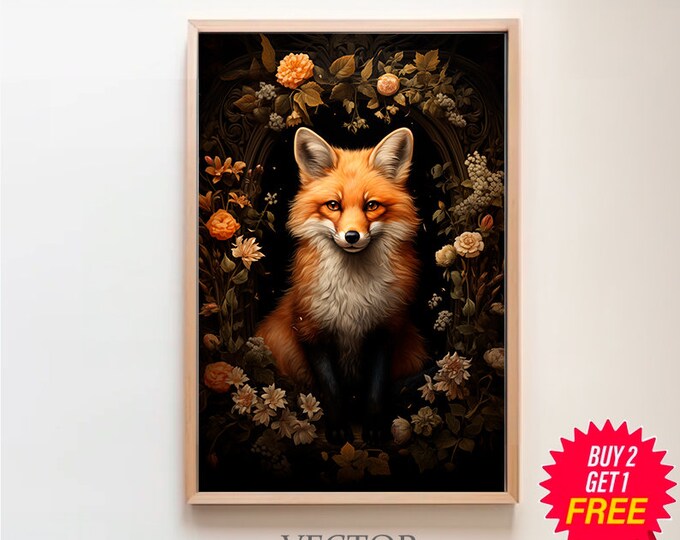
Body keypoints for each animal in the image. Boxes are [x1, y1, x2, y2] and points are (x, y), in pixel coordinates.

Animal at [257, 127, 427, 444]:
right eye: (333, 205)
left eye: (371, 205)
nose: (352, 236)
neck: (353, 293)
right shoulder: (310, 330)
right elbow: (332, 390)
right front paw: (337, 430)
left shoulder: (385, 329)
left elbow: (375, 388)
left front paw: (374, 429)